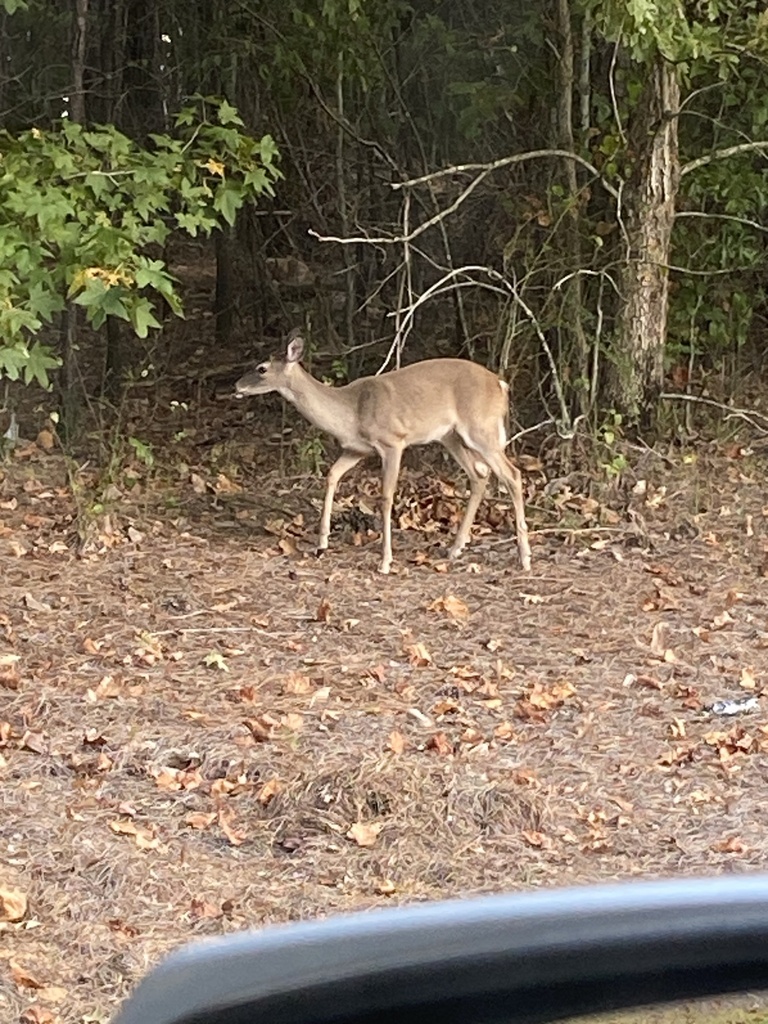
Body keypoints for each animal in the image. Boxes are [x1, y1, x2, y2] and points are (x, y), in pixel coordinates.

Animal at [234, 328, 531, 575]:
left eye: (261, 368)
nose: (236, 386)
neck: (351, 411)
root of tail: (501, 384)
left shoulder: (393, 442)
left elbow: (386, 496)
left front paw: (385, 561)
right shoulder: (357, 449)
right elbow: (332, 475)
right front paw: (321, 543)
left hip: (481, 429)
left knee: (512, 475)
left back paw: (524, 557)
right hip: (451, 436)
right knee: (480, 475)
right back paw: (455, 548)